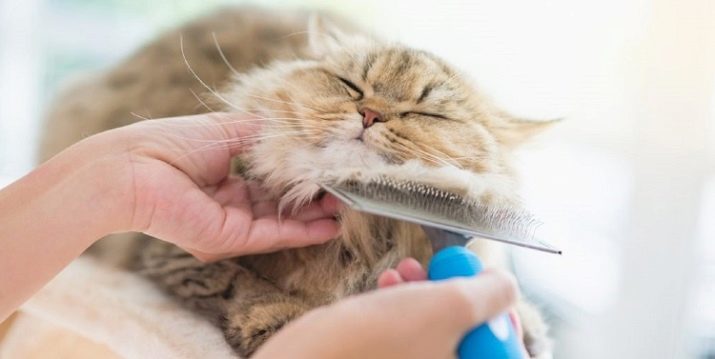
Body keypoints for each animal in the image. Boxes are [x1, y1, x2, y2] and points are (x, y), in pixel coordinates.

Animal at [39, 6, 552, 359]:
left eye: (425, 113)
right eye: (351, 85)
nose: (370, 114)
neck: (354, 240)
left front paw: (525, 331)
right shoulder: (171, 250)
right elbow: (240, 283)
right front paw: (279, 319)